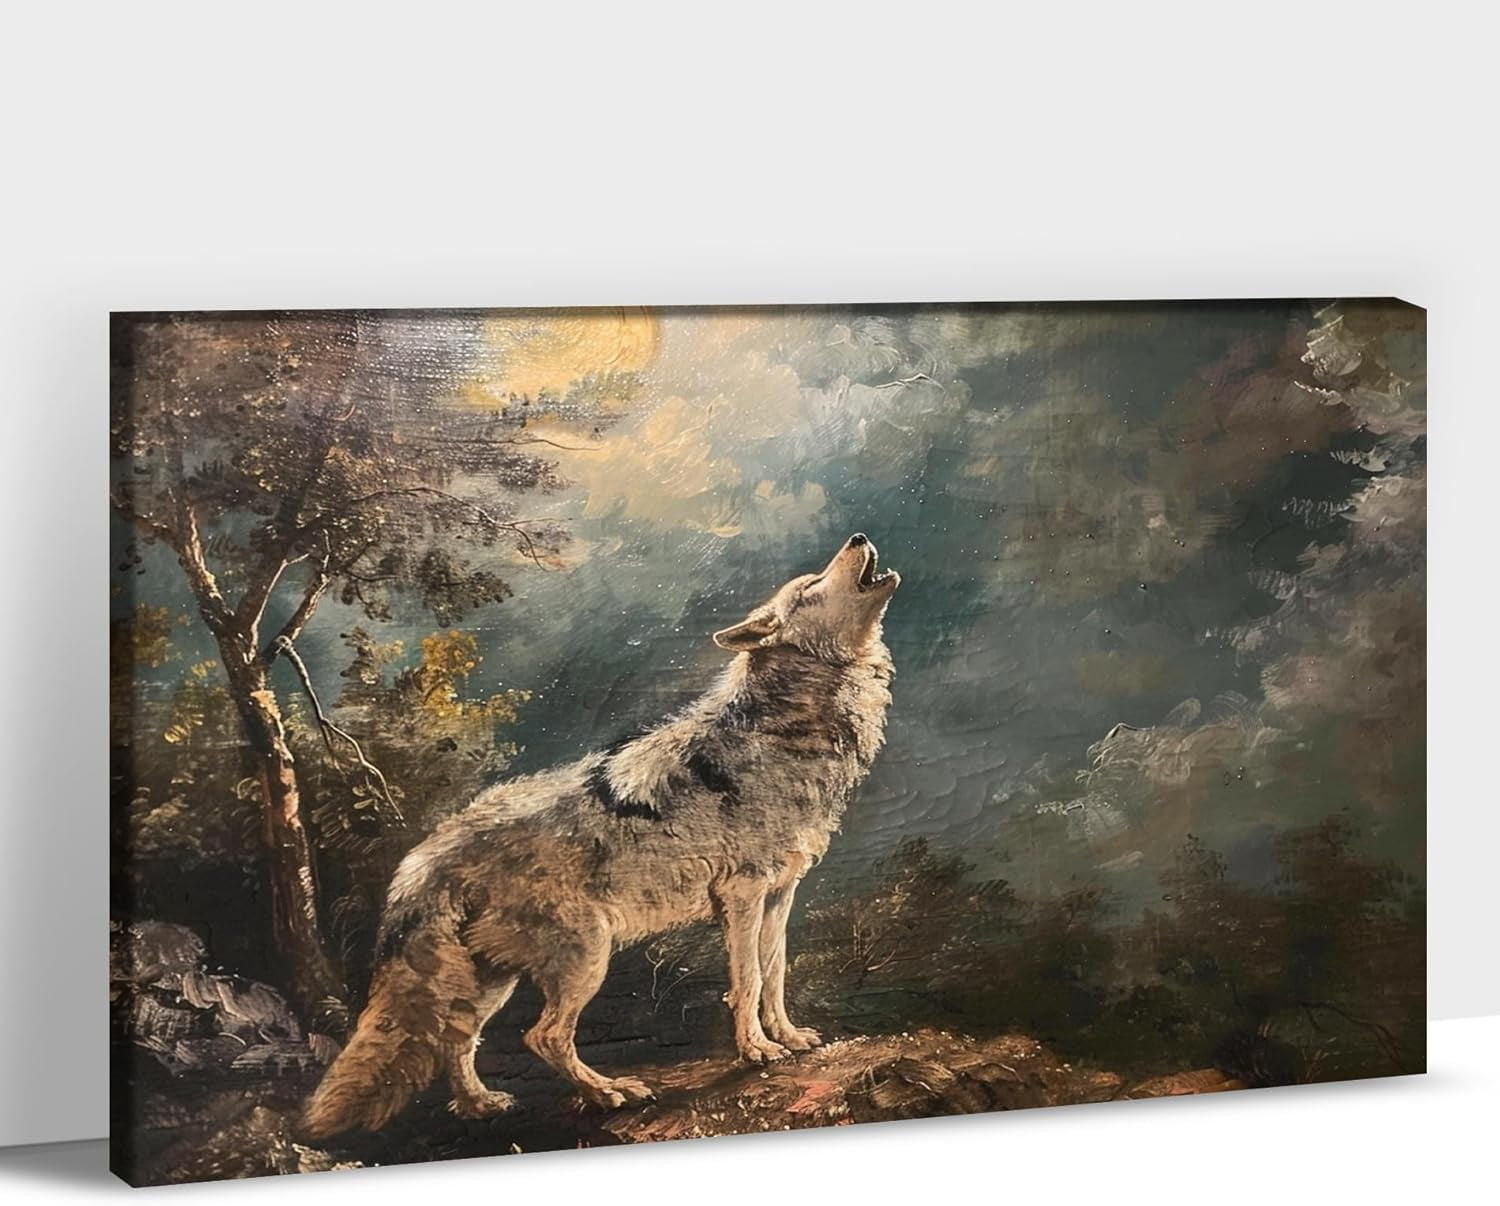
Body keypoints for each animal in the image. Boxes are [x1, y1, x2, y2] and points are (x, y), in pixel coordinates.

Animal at [302, 534, 899, 1139]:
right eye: (809, 588)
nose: (858, 538)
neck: (784, 729)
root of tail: (426, 856)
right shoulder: (743, 895)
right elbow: (749, 980)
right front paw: (756, 1050)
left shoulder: (780, 894)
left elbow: (774, 974)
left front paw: (789, 1038)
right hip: (587, 957)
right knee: (540, 1036)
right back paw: (608, 1092)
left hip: (495, 979)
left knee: (458, 1037)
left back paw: (481, 1104)